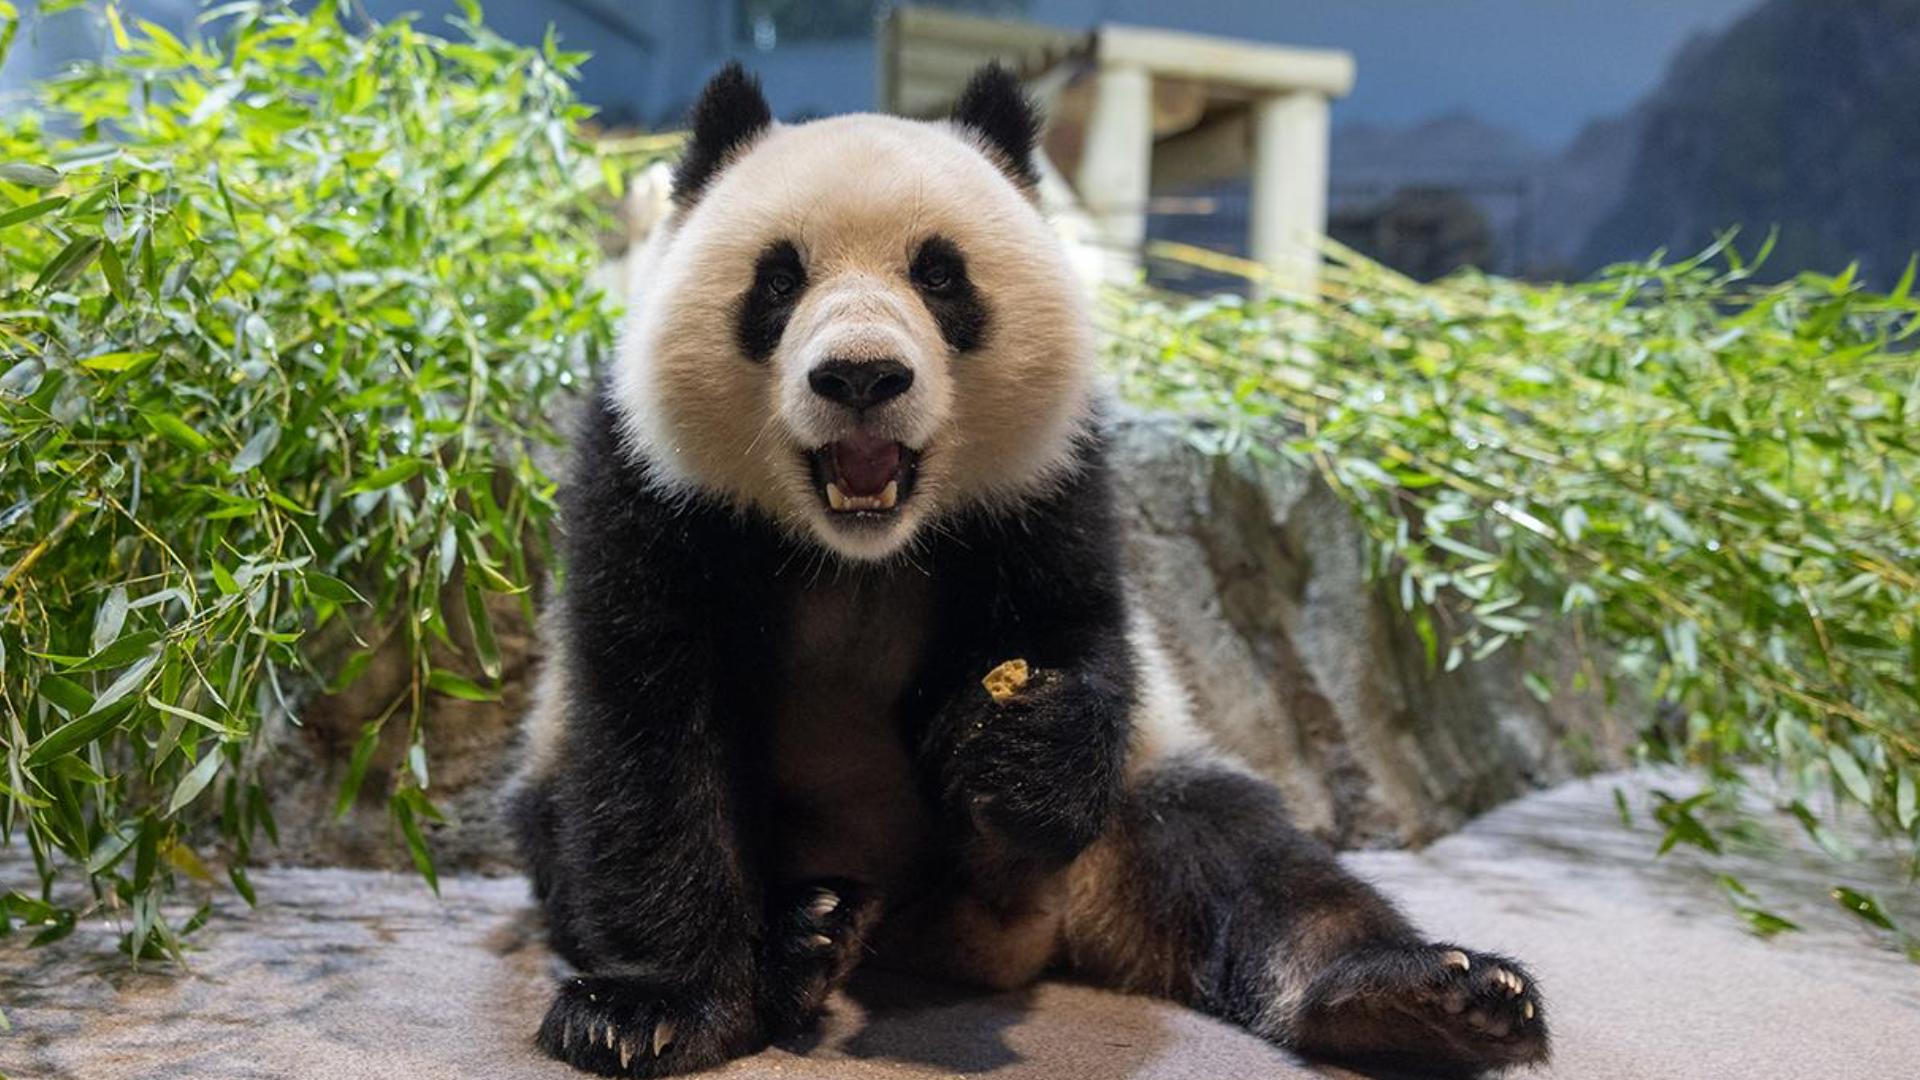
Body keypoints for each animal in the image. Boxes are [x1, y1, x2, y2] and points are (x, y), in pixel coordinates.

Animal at [509, 62, 1549, 1079]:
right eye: (778, 278)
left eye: (939, 274)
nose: (860, 377)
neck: (856, 547)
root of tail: (1003, 934)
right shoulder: (651, 489)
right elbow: (654, 737)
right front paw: (649, 1012)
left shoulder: (1053, 482)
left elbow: (1080, 629)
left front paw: (1016, 743)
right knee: (558, 825)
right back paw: (807, 940)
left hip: (1128, 819)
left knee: (1249, 860)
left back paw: (1426, 999)